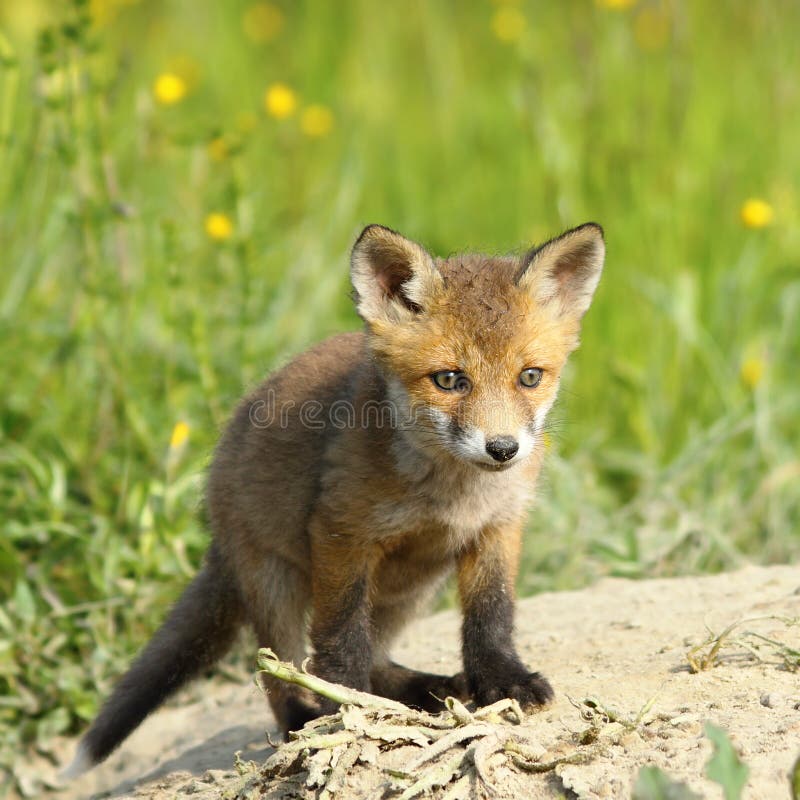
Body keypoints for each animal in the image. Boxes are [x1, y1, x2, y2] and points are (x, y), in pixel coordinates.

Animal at [66, 221, 605, 777]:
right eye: (450, 380)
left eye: (530, 376)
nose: (503, 449)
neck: (452, 496)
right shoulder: (341, 533)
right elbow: (339, 637)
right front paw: (346, 708)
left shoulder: (497, 527)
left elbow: (491, 617)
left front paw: (502, 680)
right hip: (274, 584)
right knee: (280, 668)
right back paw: (305, 720)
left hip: (412, 587)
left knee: (379, 657)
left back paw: (422, 690)